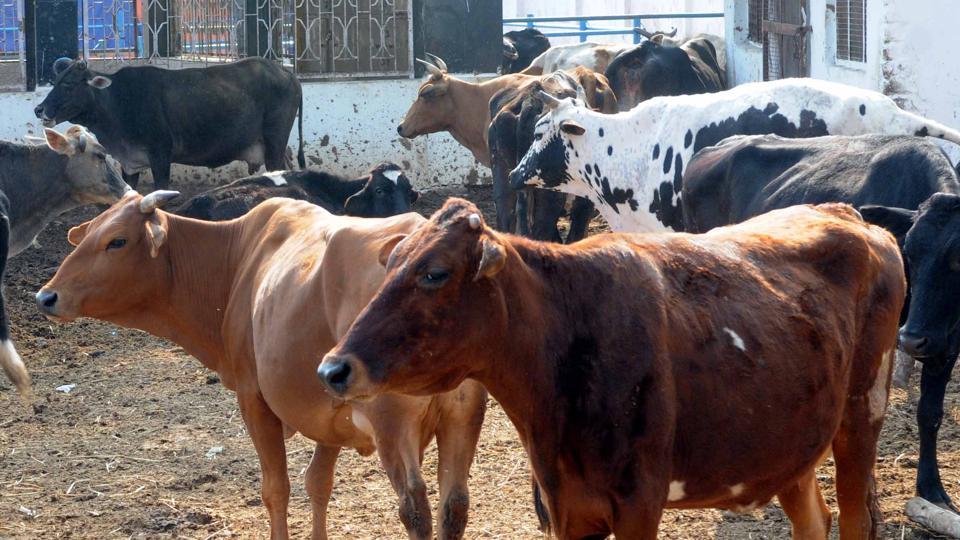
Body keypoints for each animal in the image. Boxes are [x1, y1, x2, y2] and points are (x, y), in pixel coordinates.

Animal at [33, 57, 304, 191]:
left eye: (69, 84)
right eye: (55, 80)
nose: (39, 109)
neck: (117, 102)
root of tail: (288, 73)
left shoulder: (160, 156)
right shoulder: (129, 164)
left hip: (274, 144)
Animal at [36, 193, 486, 540]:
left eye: (117, 241)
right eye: (88, 233)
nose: (46, 296)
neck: (237, 260)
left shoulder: (254, 400)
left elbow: (276, 489)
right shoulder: (328, 411)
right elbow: (317, 483)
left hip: (393, 427)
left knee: (416, 510)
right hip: (461, 419)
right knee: (454, 507)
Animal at [318, 198, 905, 540]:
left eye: (435, 273)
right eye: (392, 264)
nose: (333, 369)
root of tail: (847, 214)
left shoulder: (638, 503)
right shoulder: (569, 512)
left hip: (862, 417)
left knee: (854, 517)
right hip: (791, 443)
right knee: (814, 517)